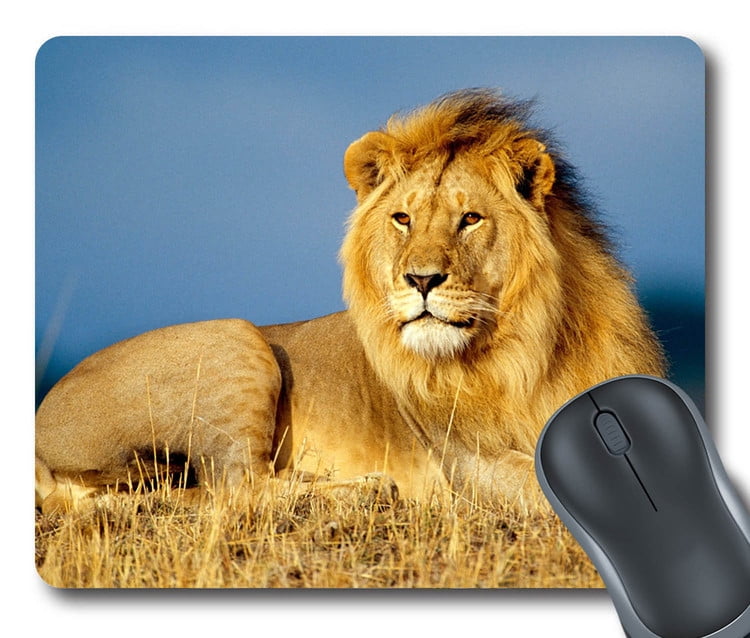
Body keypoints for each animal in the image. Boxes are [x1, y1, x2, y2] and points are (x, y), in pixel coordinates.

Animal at [35, 89, 665, 514]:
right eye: (403, 218)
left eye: (470, 218)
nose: (421, 280)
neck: (527, 348)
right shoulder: (466, 461)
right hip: (234, 337)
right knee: (236, 491)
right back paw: (366, 489)